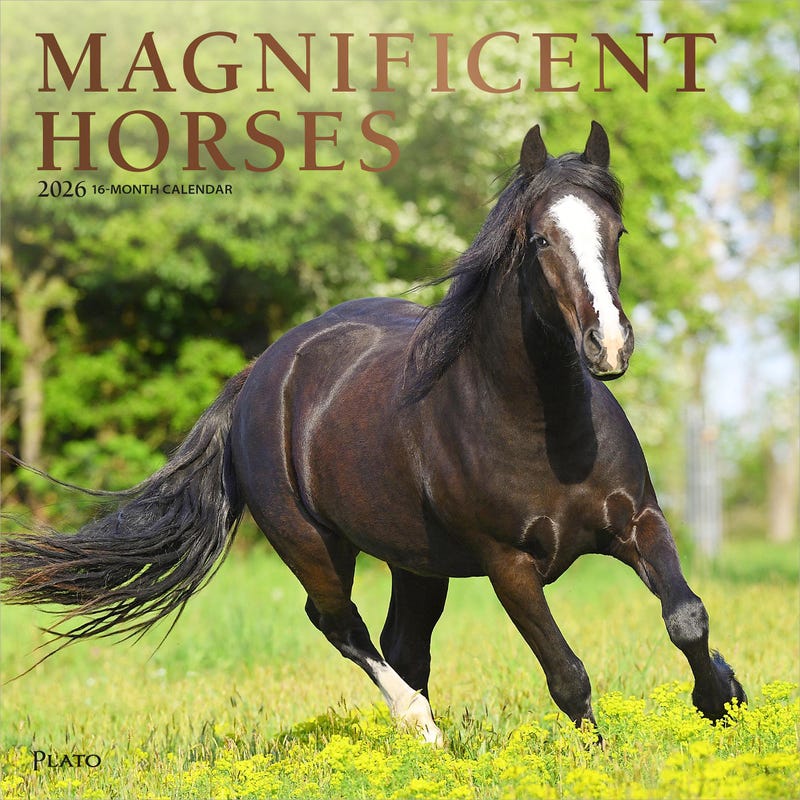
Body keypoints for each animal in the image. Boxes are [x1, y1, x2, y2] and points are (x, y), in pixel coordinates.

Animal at [2, 121, 745, 745]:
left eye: (616, 232)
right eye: (540, 239)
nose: (608, 346)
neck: (539, 427)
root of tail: (260, 373)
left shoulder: (638, 521)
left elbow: (687, 615)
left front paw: (722, 699)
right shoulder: (508, 566)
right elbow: (567, 674)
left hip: (416, 561)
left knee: (402, 641)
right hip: (313, 545)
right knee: (343, 626)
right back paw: (422, 728)